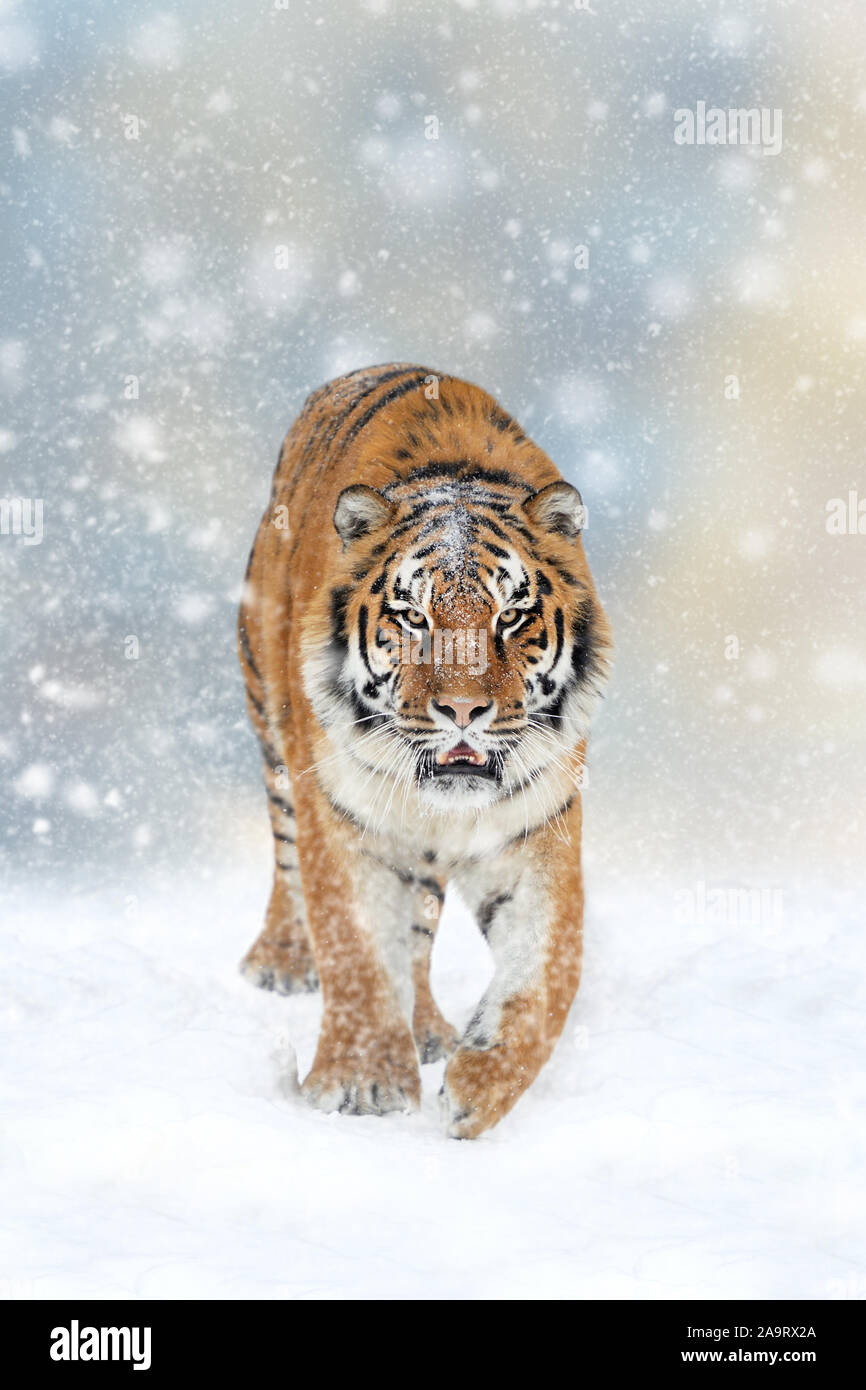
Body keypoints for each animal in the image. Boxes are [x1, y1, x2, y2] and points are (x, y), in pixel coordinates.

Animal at [237, 363, 612, 1138]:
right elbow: (353, 948)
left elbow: (548, 975)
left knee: (415, 937)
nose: (463, 710)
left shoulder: (538, 832)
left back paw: (432, 1033)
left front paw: (477, 1087)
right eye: (413, 616)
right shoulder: (342, 818)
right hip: (271, 723)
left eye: (512, 616)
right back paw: (281, 962)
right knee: (286, 856)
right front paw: (360, 1087)